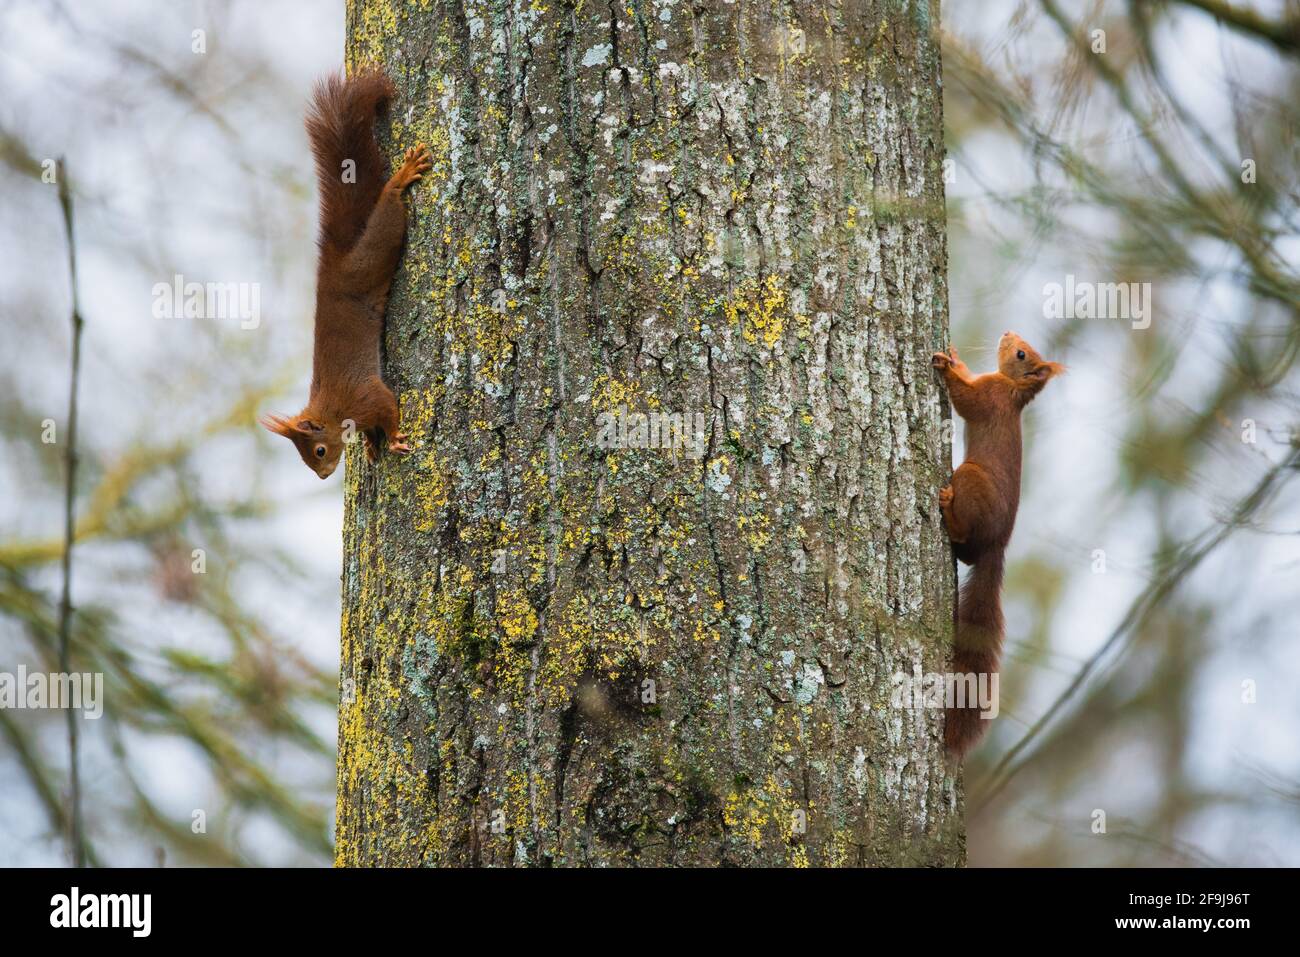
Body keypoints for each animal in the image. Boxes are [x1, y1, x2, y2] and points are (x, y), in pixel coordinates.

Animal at [260, 70, 431, 479]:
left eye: (318, 451)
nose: (323, 475)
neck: (333, 411)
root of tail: (334, 259)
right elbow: (372, 428)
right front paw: (371, 444)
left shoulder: (363, 396)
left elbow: (387, 406)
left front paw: (394, 436)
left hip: (372, 254)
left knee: (388, 213)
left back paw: (400, 179)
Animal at [932, 332, 1063, 757]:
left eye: (1021, 354)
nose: (1008, 333)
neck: (1014, 390)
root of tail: (997, 545)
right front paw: (955, 356)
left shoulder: (990, 395)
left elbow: (966, 400)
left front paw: (946, 367)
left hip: (970, 477)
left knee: (960, 533)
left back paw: (947, 507)